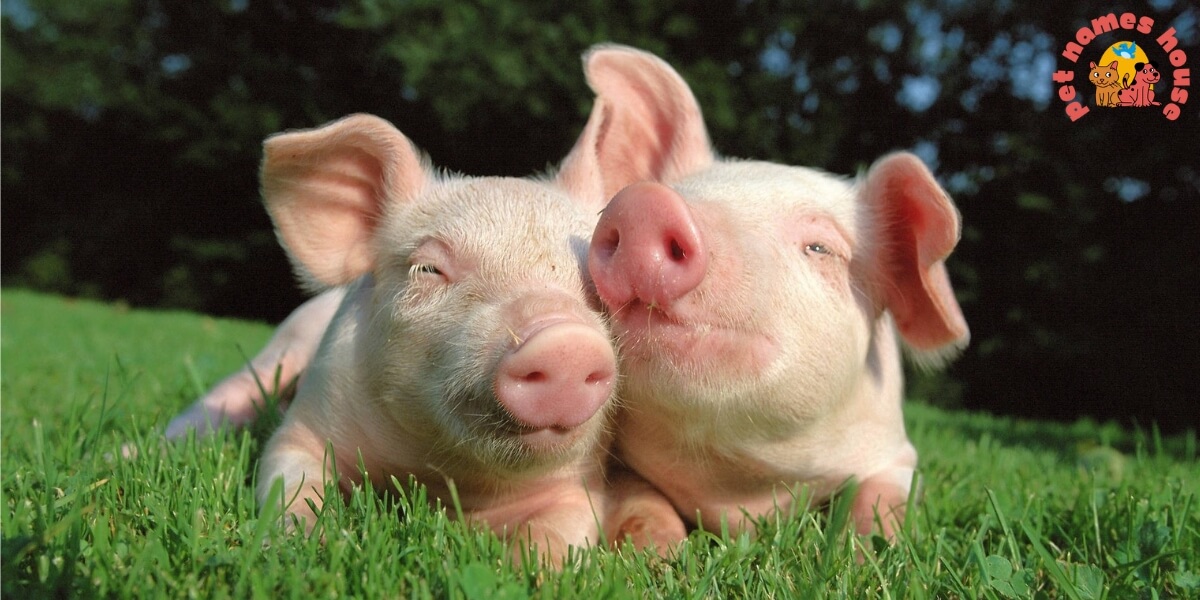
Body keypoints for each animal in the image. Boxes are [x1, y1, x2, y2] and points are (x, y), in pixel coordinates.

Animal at [583, 46, 970, 539]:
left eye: (820, 248)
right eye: (674, 192)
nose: (645, 204)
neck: (740, 488)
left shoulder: (898, 452)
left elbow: (883, 497)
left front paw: (869, 547)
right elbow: (642, 500)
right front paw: (657, 550)